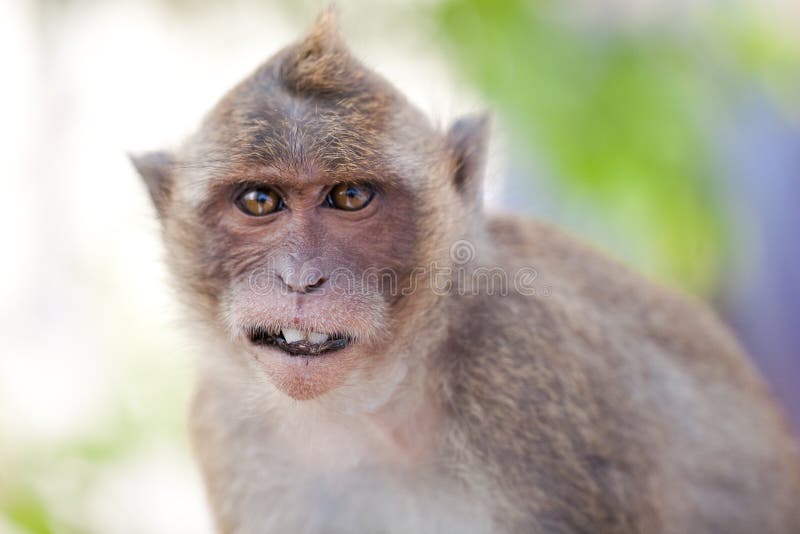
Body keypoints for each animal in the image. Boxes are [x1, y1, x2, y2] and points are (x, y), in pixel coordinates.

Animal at [131, 11, 800, 534]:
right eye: (259, 201)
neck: (375, 411)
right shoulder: (226, 427)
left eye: (349, 196)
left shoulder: (528, 372)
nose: (300, 280)